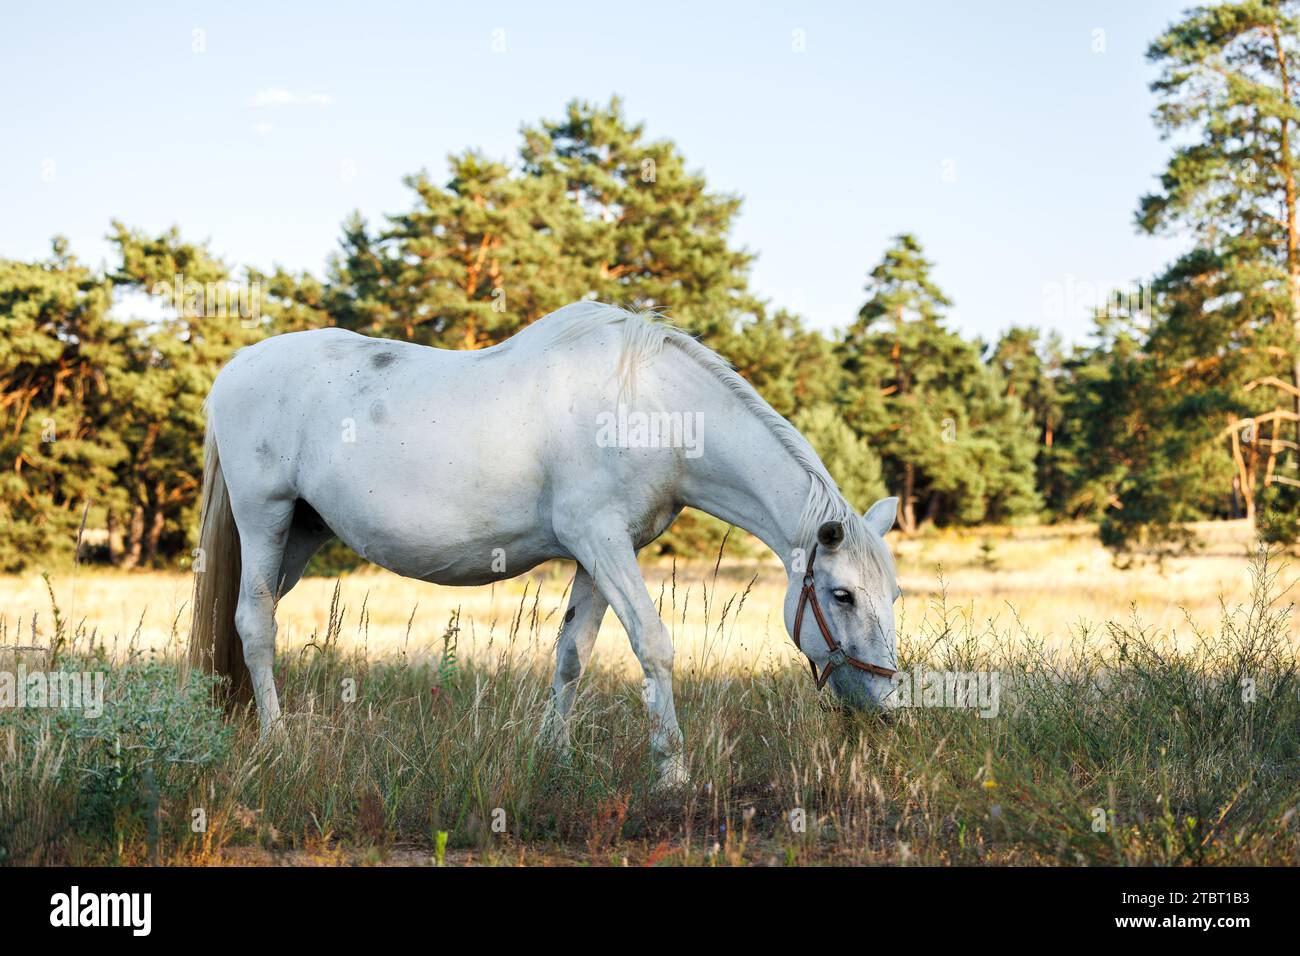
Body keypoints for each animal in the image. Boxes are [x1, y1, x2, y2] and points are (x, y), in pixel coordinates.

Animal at [189, 301, 901, 788]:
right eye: (841, 594)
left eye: (892, 594)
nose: (889, 712)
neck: (653, 408)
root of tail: (235, 368)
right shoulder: (602, 540)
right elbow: (653, 645)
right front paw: (672, 771)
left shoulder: (600, 552)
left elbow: (571, 654)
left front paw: (552, 755)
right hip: (264, 518)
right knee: (255, 624)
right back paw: (278, 743)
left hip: (299, 535)